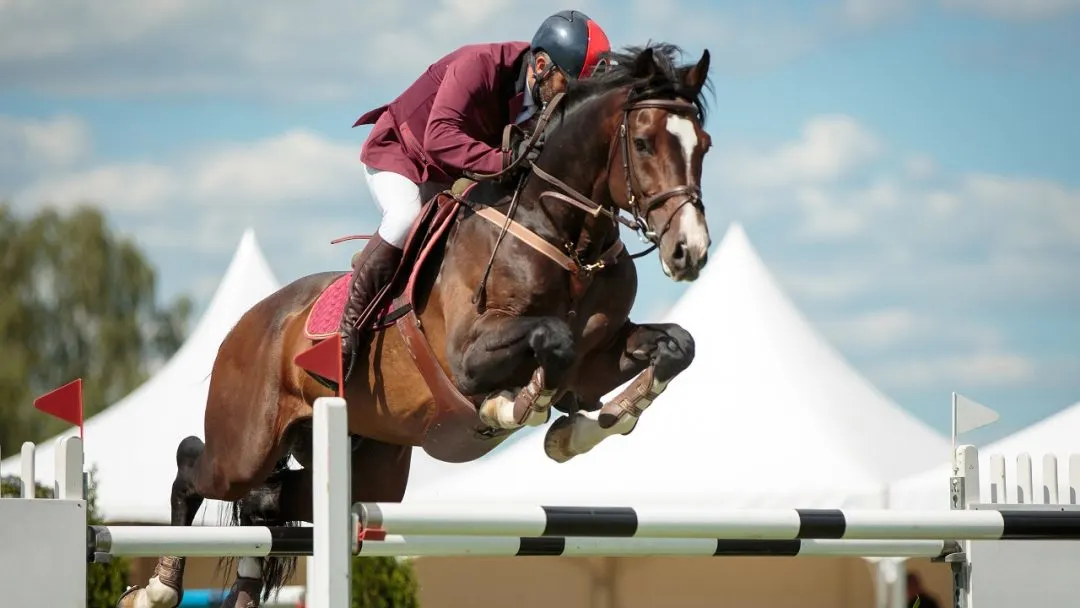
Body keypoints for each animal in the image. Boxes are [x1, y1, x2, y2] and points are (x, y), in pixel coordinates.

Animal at [117, 42, 714, 608]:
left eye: (704, 146)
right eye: (644, 144)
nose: (690, 251)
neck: (563, 236)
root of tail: (248, 322)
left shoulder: (597, 361)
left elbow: (676, 346)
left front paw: (588, 427)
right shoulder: (470, 356)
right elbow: (553, 340)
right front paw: (519, 408)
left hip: (367, 463)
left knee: (267, 500)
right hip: (245, 445)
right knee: (193, 465)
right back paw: (156, 589)